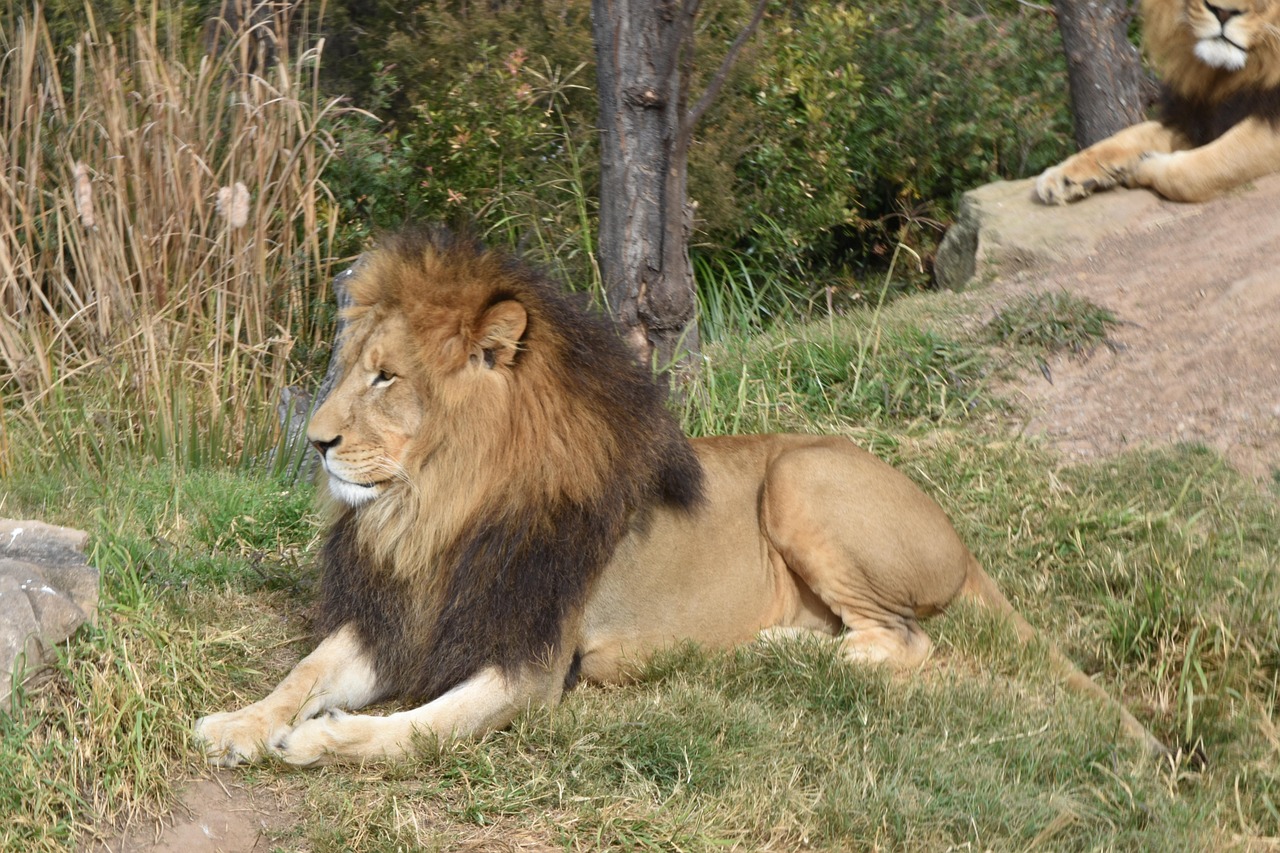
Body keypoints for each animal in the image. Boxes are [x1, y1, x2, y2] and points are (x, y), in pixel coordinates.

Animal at [194, 226, 1164, 767]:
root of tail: (960, 538)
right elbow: (305, 670)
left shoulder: (528, 659)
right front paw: (239, 723)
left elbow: (420, 729)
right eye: (351, 368)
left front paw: (322, 740)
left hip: (802, 478)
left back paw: (795, 653)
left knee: (907, 642)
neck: (435, 511)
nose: (314, 440)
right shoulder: (403, 617)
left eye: (386, 377)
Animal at [1036, 0, 1280, 204]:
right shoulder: (1190, 117)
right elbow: (1125, 138)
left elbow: (1199, 169)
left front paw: (1144, 165)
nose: (1223, 12)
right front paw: (1062, 176)